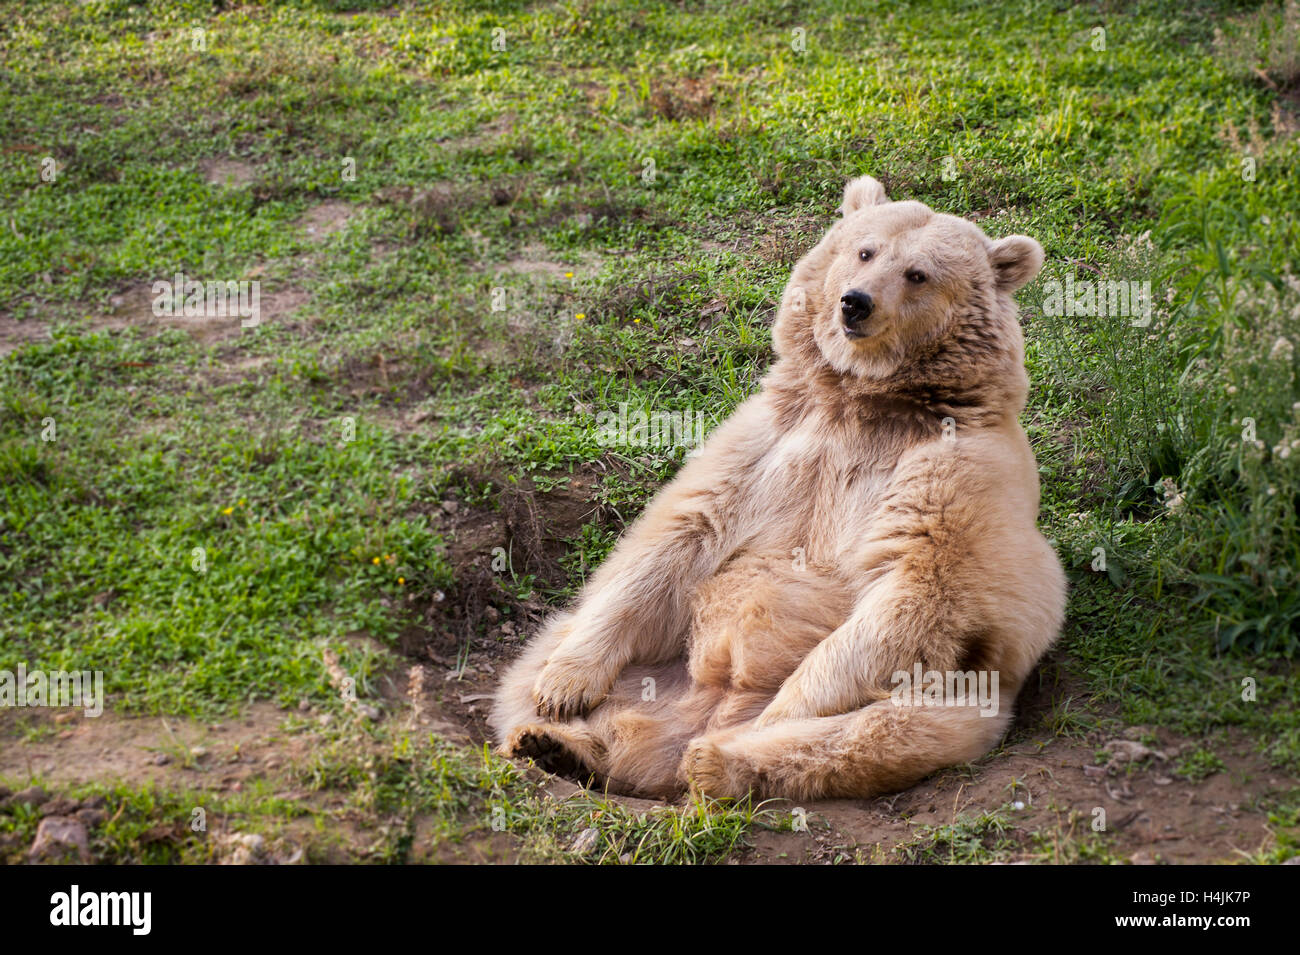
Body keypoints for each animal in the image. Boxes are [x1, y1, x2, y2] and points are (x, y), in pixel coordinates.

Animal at [489, 174, 1067, 802]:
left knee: (893, 728)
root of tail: (688, 722)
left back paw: (717, 759)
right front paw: (564, 689)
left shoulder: (954, 473)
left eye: (918, 273)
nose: (855, 302)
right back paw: (555, 742)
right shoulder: (767, 440)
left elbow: (913, 592)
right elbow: (672, 542)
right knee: (531, 669)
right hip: (649, 670)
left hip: (965, 692)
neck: (865, 405)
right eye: (864, 251)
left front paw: (781, 712)